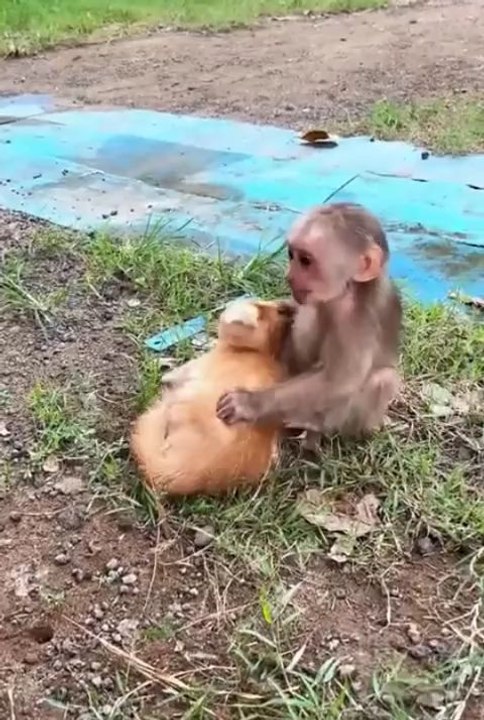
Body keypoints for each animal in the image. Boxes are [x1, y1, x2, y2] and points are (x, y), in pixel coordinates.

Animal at [216, 203, 402, 442]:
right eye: (291, 255)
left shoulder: (356, 319)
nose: (289, 276)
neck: (347, 290)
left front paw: (250, 403)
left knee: (382, 379)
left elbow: (339, 381)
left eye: (305, 260)